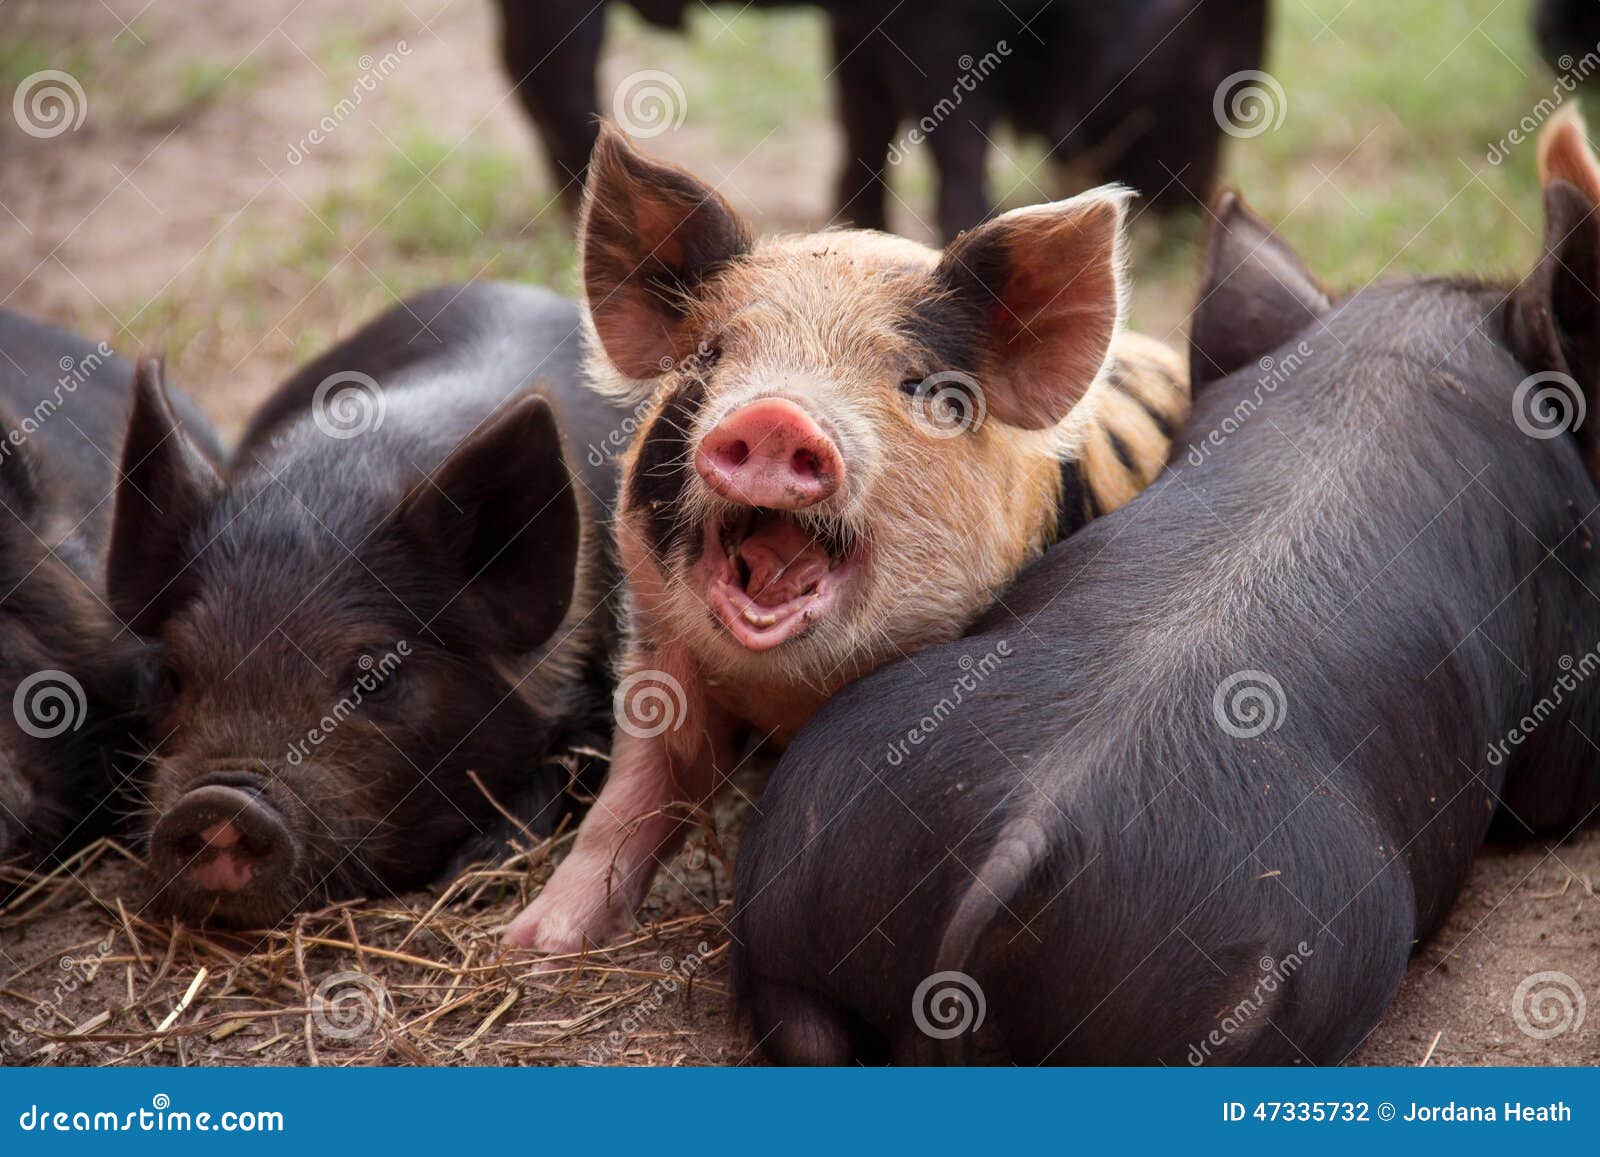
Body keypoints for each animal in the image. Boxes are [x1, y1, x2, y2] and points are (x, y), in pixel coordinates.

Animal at [494, 0, 1266, 238]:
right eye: (1217, 83)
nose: (1194, 210)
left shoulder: (859, 26)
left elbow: (861, 121)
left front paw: (860, 231)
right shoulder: (936, 30)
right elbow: (956, 140)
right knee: (554, 83)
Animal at [503, 125, 1189, 951]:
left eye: (924, 387)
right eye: (710, 355)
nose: (775, 416)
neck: (788, 692)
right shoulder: (654, 636)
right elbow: (635, 792)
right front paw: (532, 945)